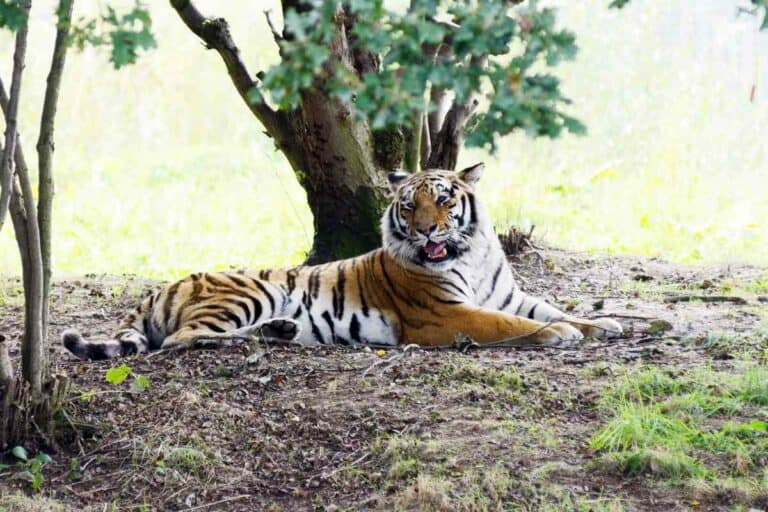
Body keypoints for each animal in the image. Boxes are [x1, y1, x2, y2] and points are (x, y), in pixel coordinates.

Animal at [62, 163, 622, 360]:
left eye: (444, 201)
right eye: (409, 205)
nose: (426, 230)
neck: (473, 253)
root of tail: (158, 289)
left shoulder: (509, 294)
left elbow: (552, 309)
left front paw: (605, 325)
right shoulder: (444, 315)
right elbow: (510, 324)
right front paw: (560, 336)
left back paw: (283, 332)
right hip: (249, 292)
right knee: (182, 339)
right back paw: (266, 337)